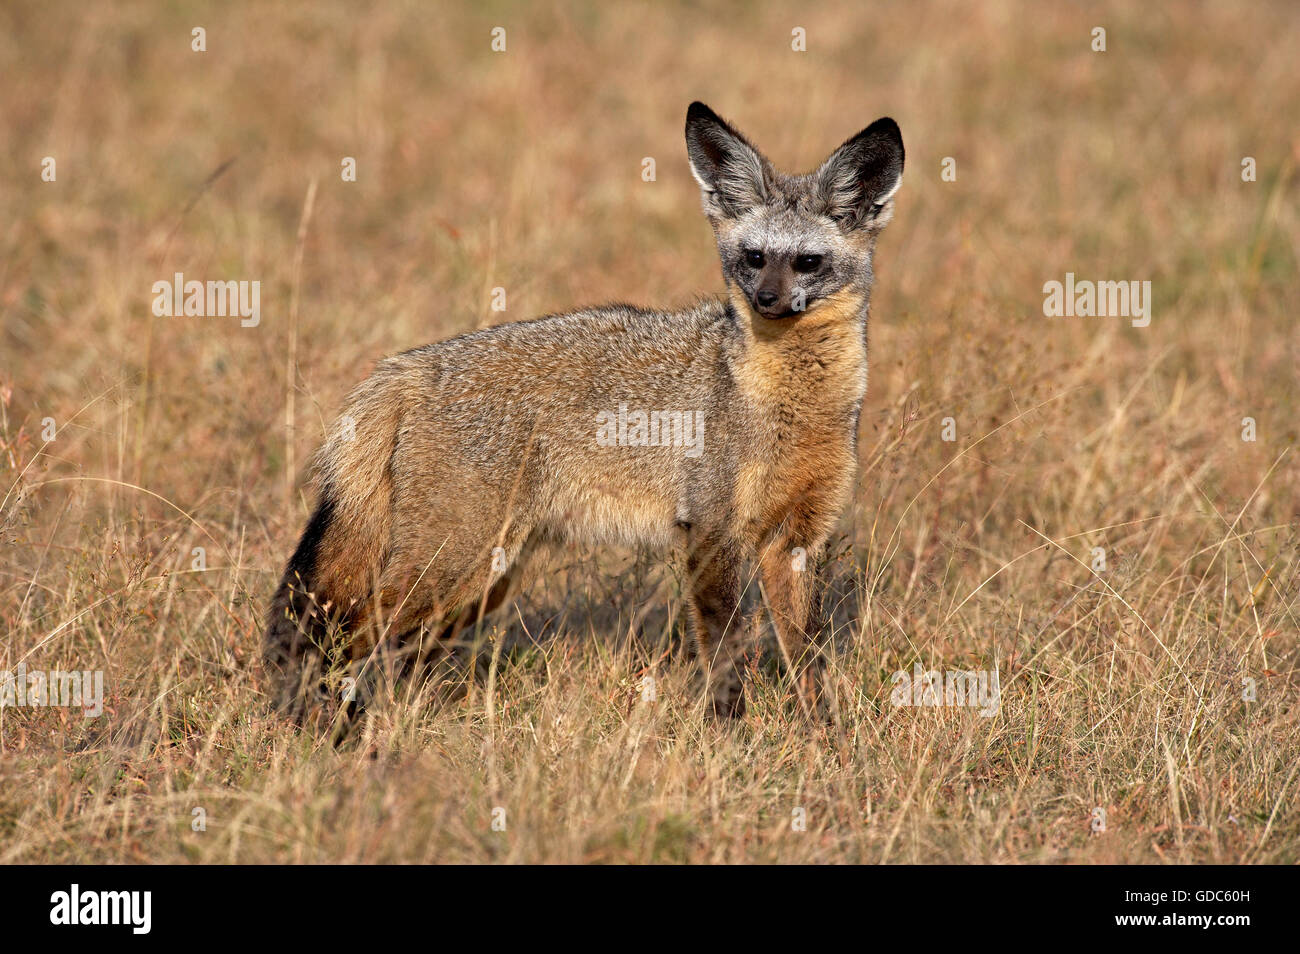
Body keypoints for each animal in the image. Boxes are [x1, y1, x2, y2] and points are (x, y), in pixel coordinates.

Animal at [264, 101, 904, 723]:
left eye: (807, 262)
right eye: (753, 257)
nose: (765, 300)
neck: (788, 403)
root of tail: (406, 367)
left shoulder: (793, 541)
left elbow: (809, 662)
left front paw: (823, 736)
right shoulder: (710, 529)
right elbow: (725, 649)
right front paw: (731, 734)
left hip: (481, 583)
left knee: (384, 654)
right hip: (451, 568)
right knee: (345, 641)